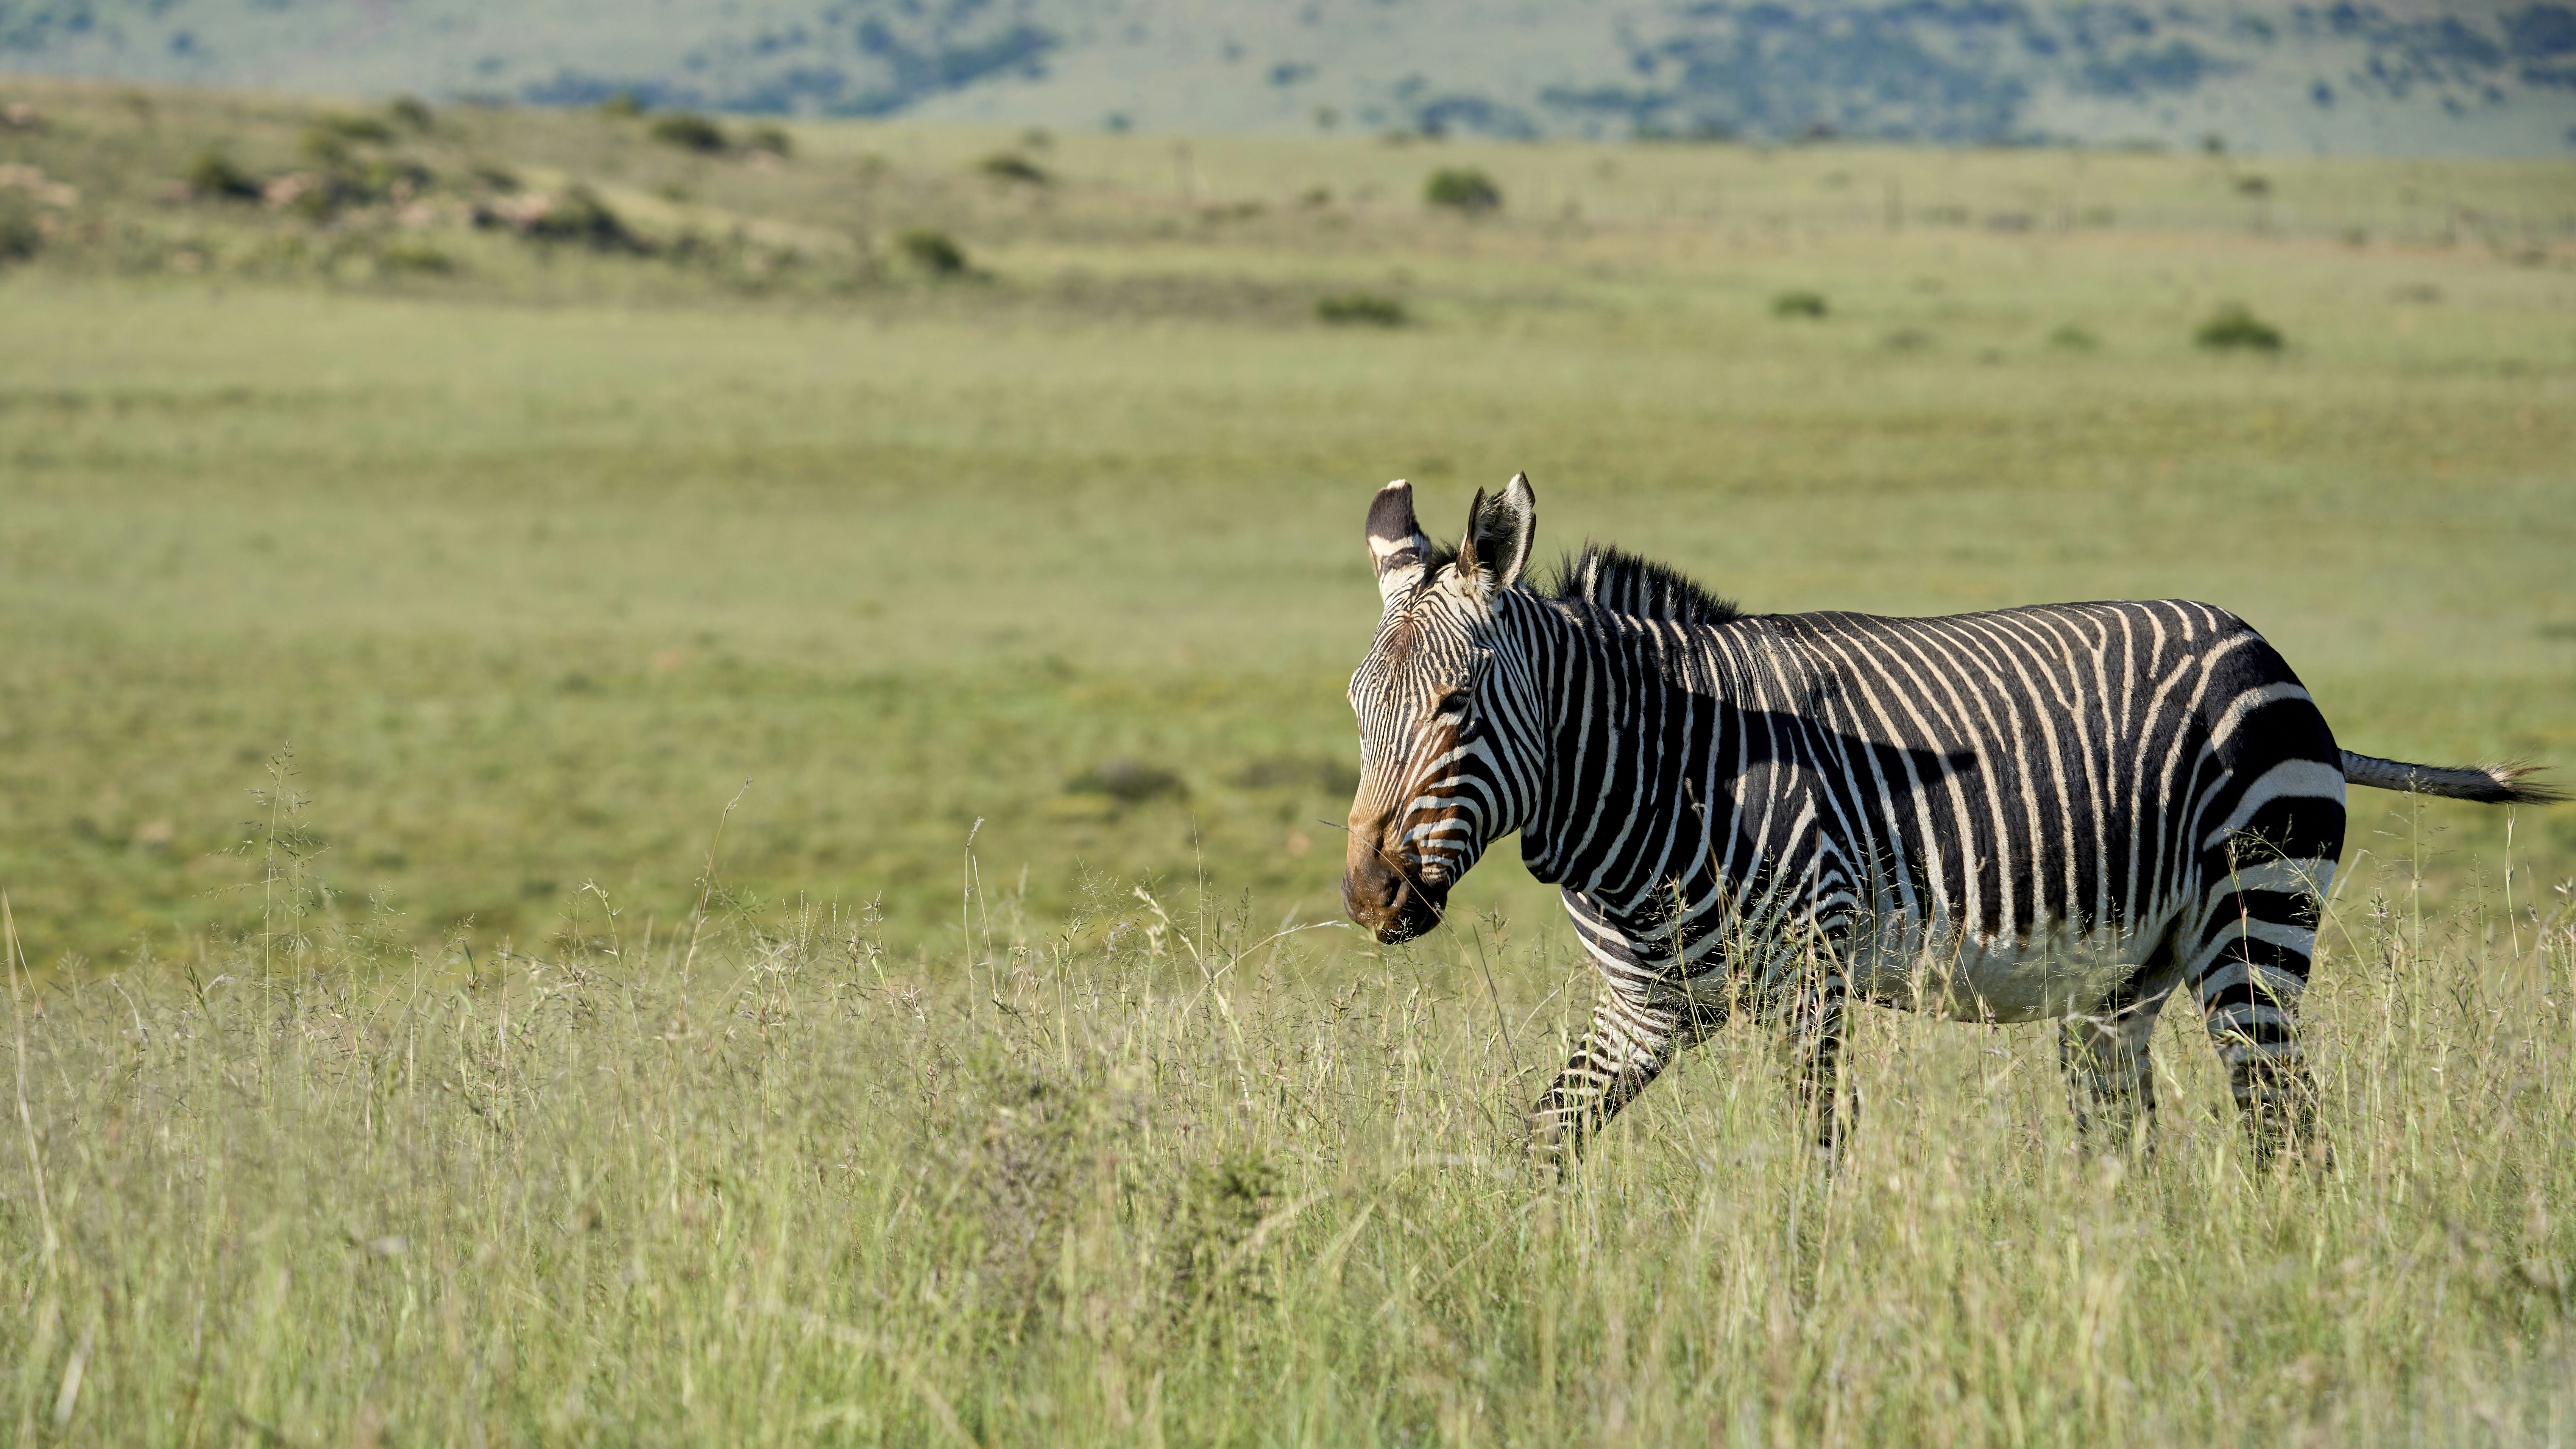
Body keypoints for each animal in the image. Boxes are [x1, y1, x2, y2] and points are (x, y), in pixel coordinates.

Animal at [1341, 473, 2559, 1166]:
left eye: (1455, 706)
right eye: (1357, 708)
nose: (1370, 896)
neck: (1657, 769)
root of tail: (2268, 651)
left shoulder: (1807, 974)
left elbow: (1815, 1161)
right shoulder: (1647, 1005)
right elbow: (1541, 1142)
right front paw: (1505, 1282)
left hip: (2255, 917)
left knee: (2281, 1127)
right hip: (2122, 979)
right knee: (2129, 1142)